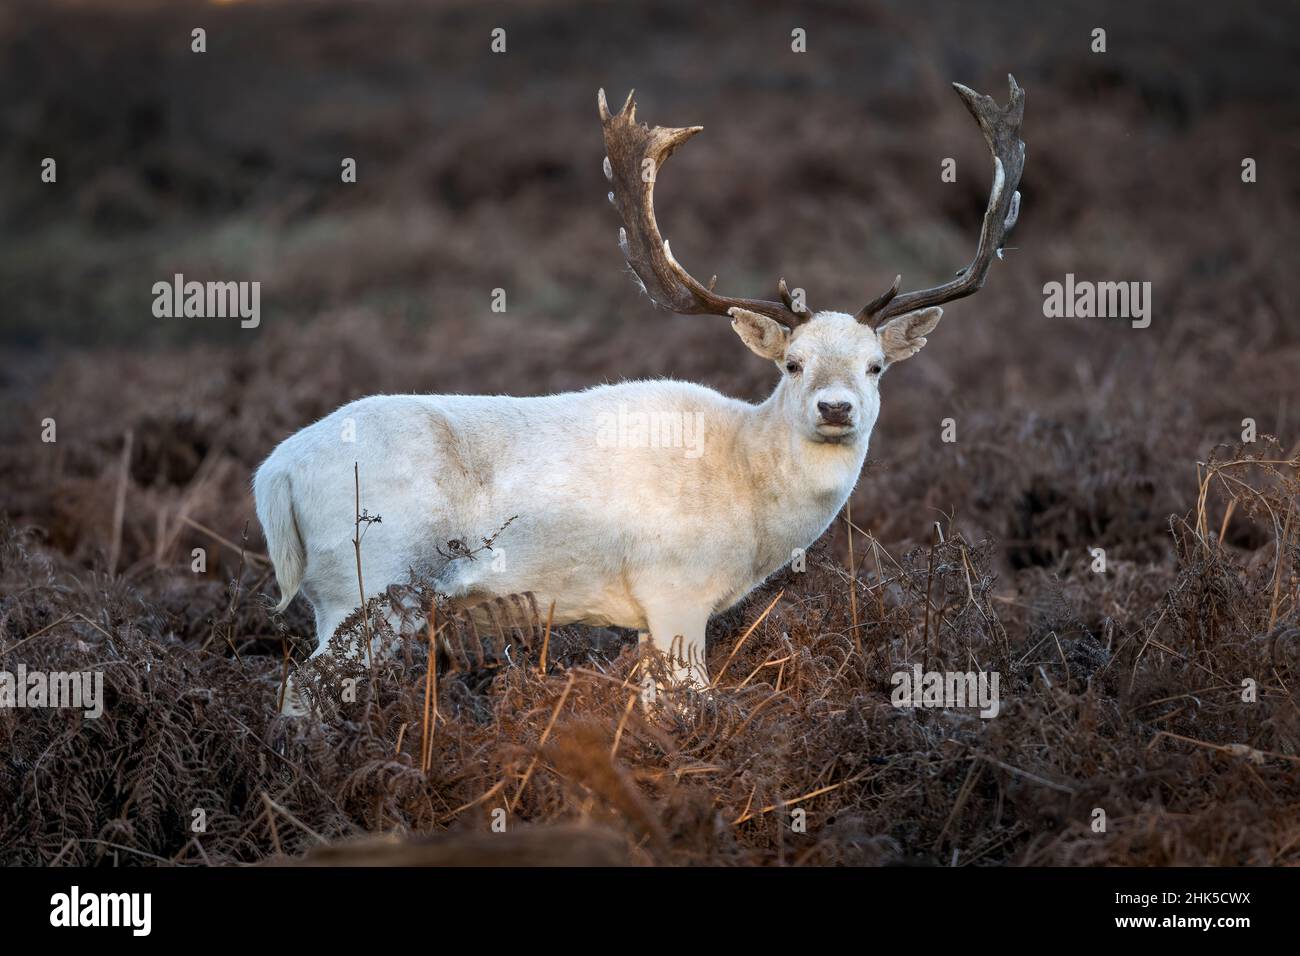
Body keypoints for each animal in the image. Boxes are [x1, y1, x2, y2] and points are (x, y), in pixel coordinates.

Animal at [254, 77, 1025, 713]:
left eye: (875, 367)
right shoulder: (675, 590)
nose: (835, 409)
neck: (750, 499)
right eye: (793, 364)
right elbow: (689, 707)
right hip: (370, 583)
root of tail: (274, 476)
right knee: (298, 692)